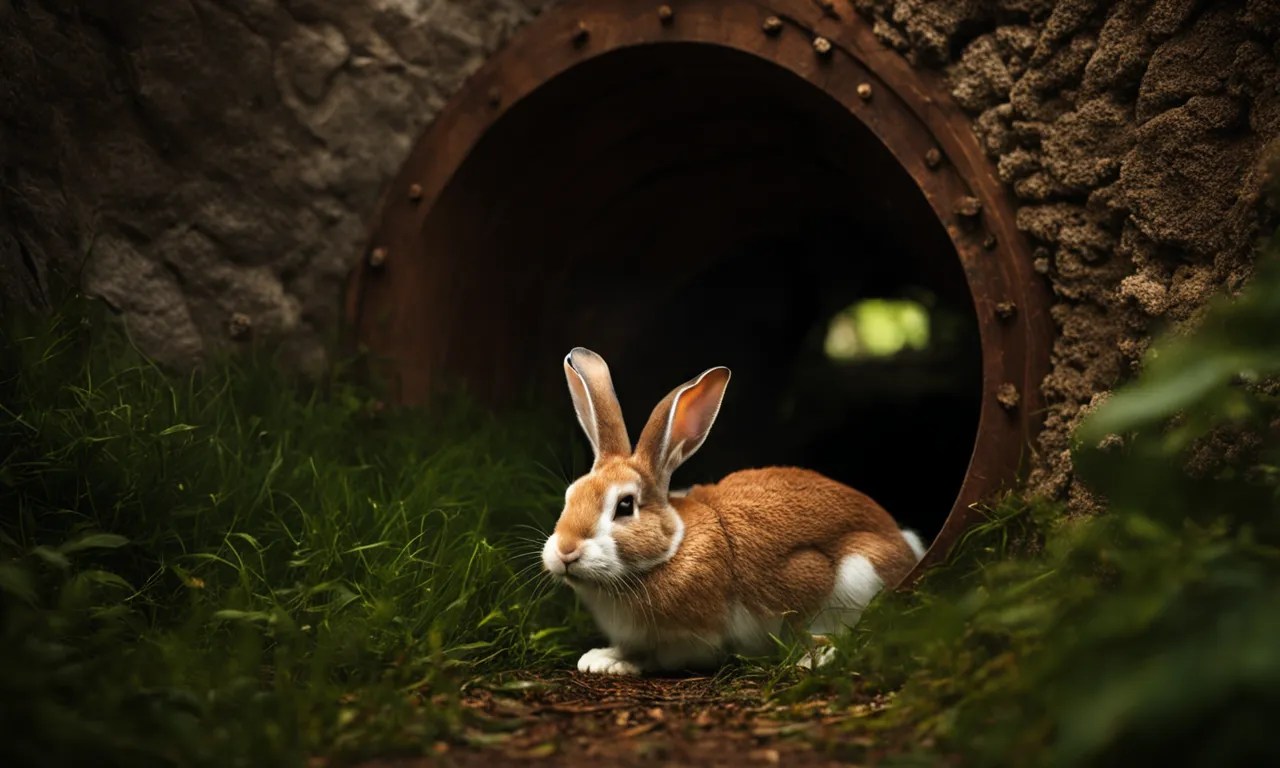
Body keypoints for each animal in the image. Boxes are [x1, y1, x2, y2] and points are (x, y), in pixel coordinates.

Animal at [542, 347, 927, 675]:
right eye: (571, 494)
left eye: (624, 505)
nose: (565, 551)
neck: (670, 551)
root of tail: (906, 547)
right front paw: (600, 657)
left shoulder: (696, 639)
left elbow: (657, 657)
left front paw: (615, 663)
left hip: (858, 576)